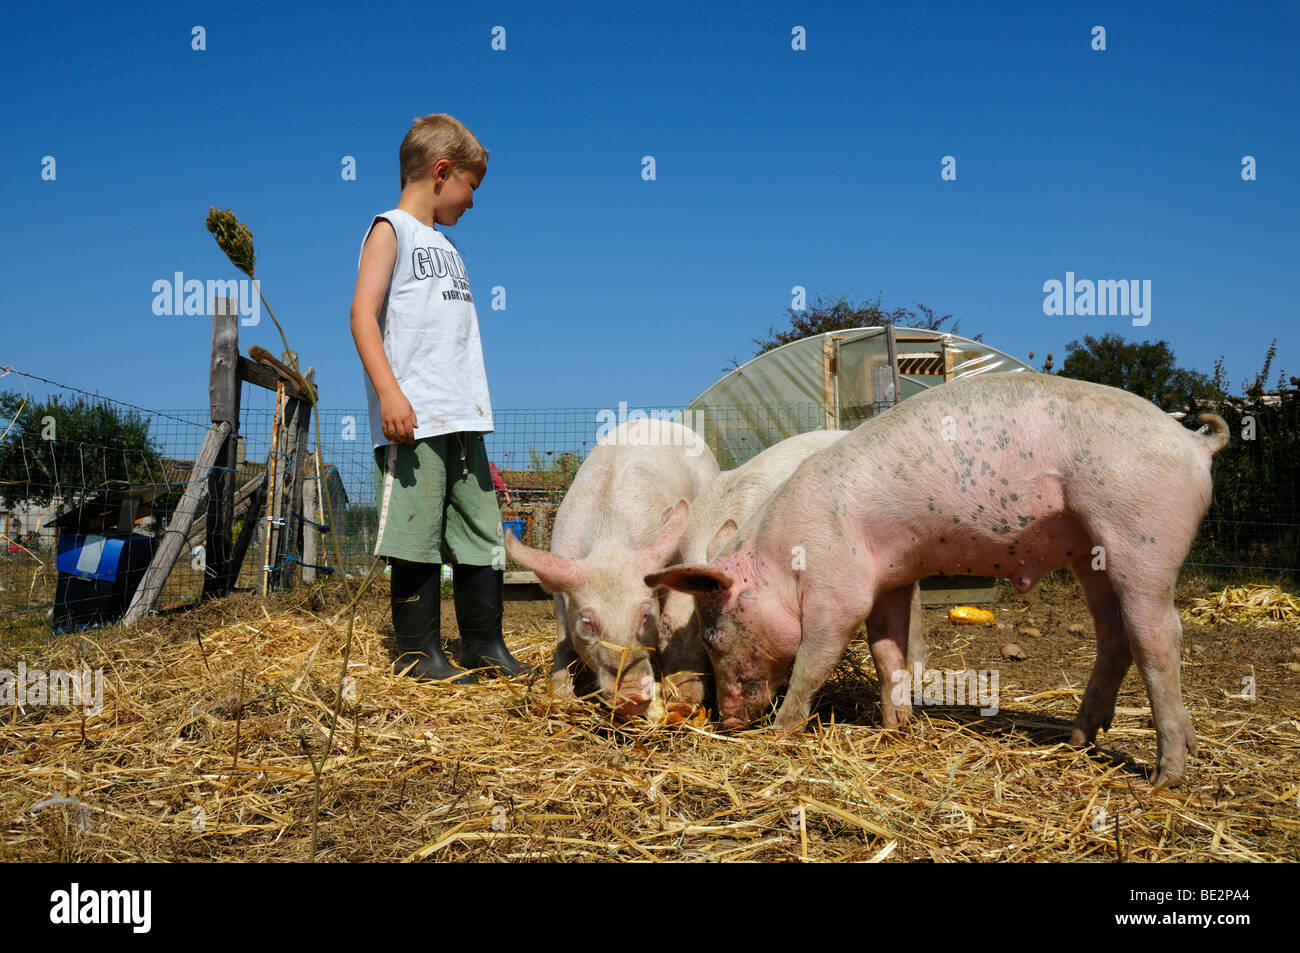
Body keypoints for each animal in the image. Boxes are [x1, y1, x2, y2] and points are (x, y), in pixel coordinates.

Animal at [505, 417, 719, 715]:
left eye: (646, 614)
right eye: (587, 622)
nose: (632, 695)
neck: (608, 540)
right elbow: (563, 636)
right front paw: (560, 697)